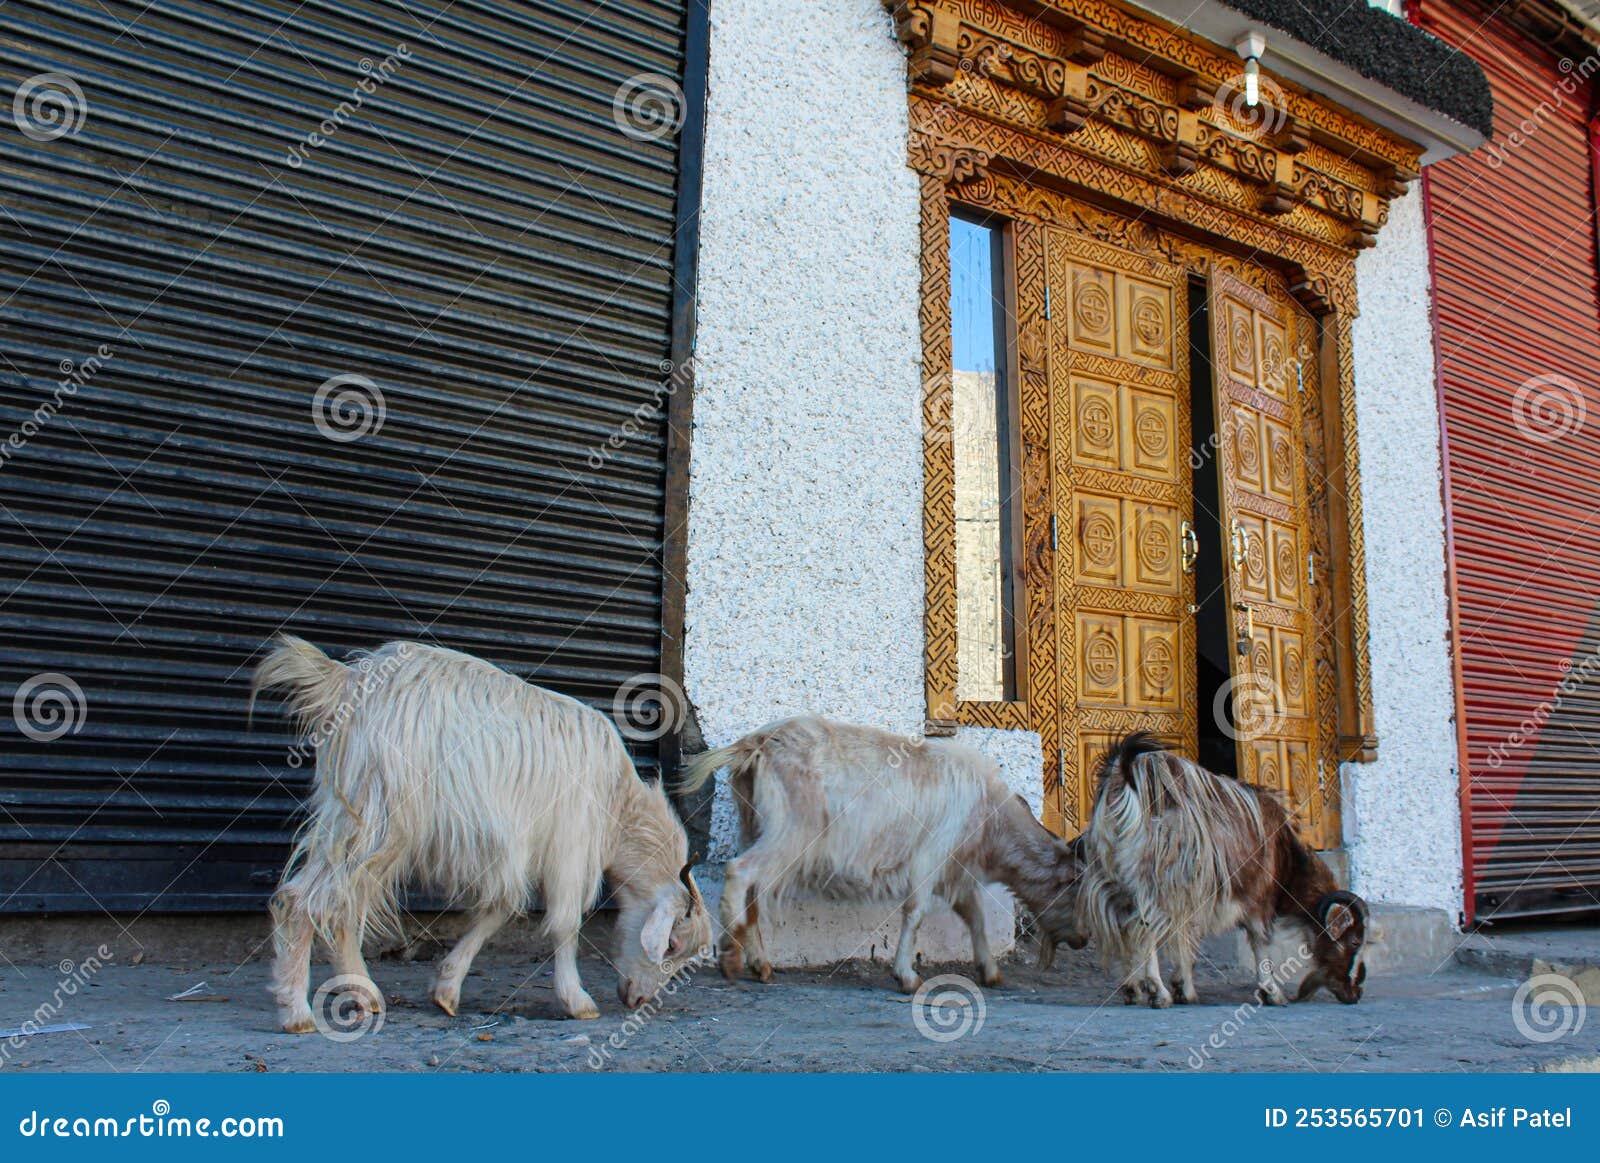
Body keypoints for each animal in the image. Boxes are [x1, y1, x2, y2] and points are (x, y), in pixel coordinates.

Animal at [252, 635, 712, 1030]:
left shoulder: (522, 849)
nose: (639, 1000)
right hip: (379, 814)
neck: (616, 801)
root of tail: (347, 681)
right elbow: (565, 922)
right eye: (671, 945)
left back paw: (362, 993)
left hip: (357, 815)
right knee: (302, 900)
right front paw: (577, 1000)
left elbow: (501, 908)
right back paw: (296, 1011)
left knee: (342, 903)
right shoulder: (569, 844)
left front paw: (446, 988)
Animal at [679, 715, 1086, 993]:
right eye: (1073, 888)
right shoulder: (931, 857)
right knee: (740, 872)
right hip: (790, 833)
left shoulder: (954, 870)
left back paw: (759, 963)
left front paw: (989, 970)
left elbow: (975, 917)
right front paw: (906, 975)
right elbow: (916, 912)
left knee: (753, 892)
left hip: (755, 828)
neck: (990, 815)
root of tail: (758, 742)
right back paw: (731, 956)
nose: (1083, 941)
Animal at [1075, 732, 1368, 1008]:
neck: (1283, 852)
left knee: (1121, 926)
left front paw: (1184, 988)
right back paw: (1158, 993)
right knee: (1143, 928)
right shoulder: (1256, 896)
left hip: (1112, 878)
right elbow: (1260, 941)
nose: (1354, 992)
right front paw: (1272, 993)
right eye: (1354, 941)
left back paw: (1133, 990)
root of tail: (1125, 777)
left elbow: (1188, 939)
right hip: (1154, 882)